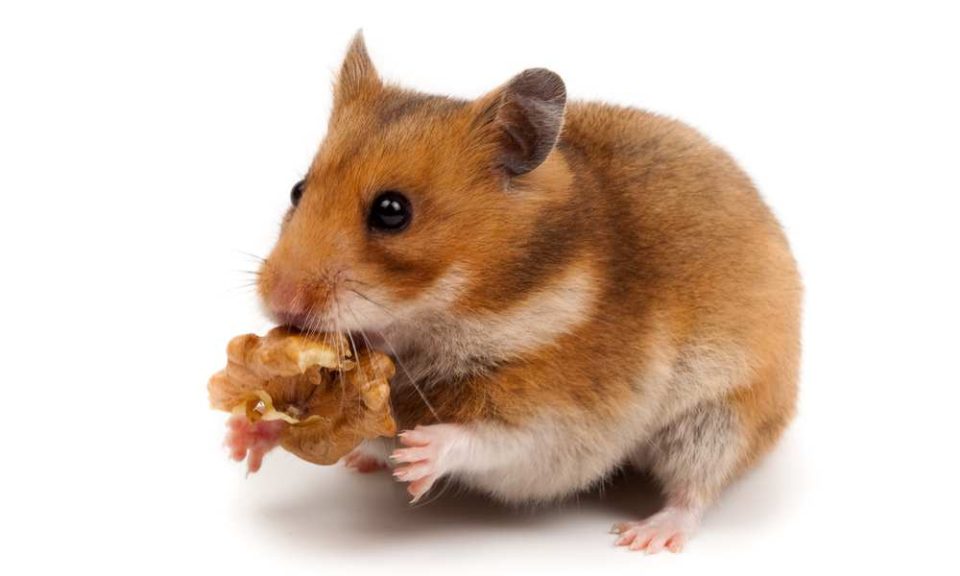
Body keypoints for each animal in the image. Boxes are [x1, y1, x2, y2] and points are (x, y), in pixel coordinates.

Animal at [256, 33, 801, 554]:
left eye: (392, 211)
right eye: (298, 189)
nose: (279, 301)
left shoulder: (563, 417)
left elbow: (492, 438)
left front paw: (417, 456)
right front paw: (250, 436)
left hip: (723, 417)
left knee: (696, 489)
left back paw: (644, 537)